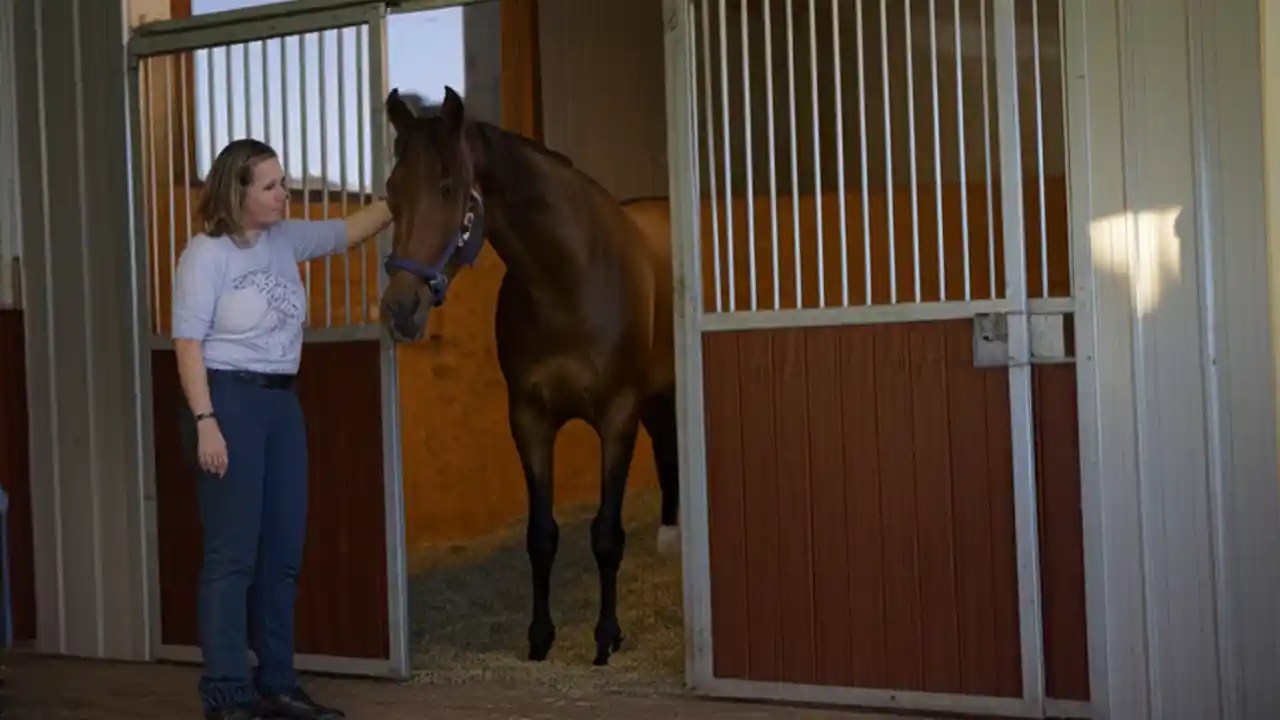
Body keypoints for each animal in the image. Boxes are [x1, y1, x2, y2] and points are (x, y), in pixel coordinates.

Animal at [378, 85, 680, 667]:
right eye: (390, 192)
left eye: (449, 187)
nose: (401, 309)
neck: (570, 278)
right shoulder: (529, 418)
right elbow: (541, 534)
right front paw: (540, 639)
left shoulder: (617, 416)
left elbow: (606, 533)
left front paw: (606, 638)